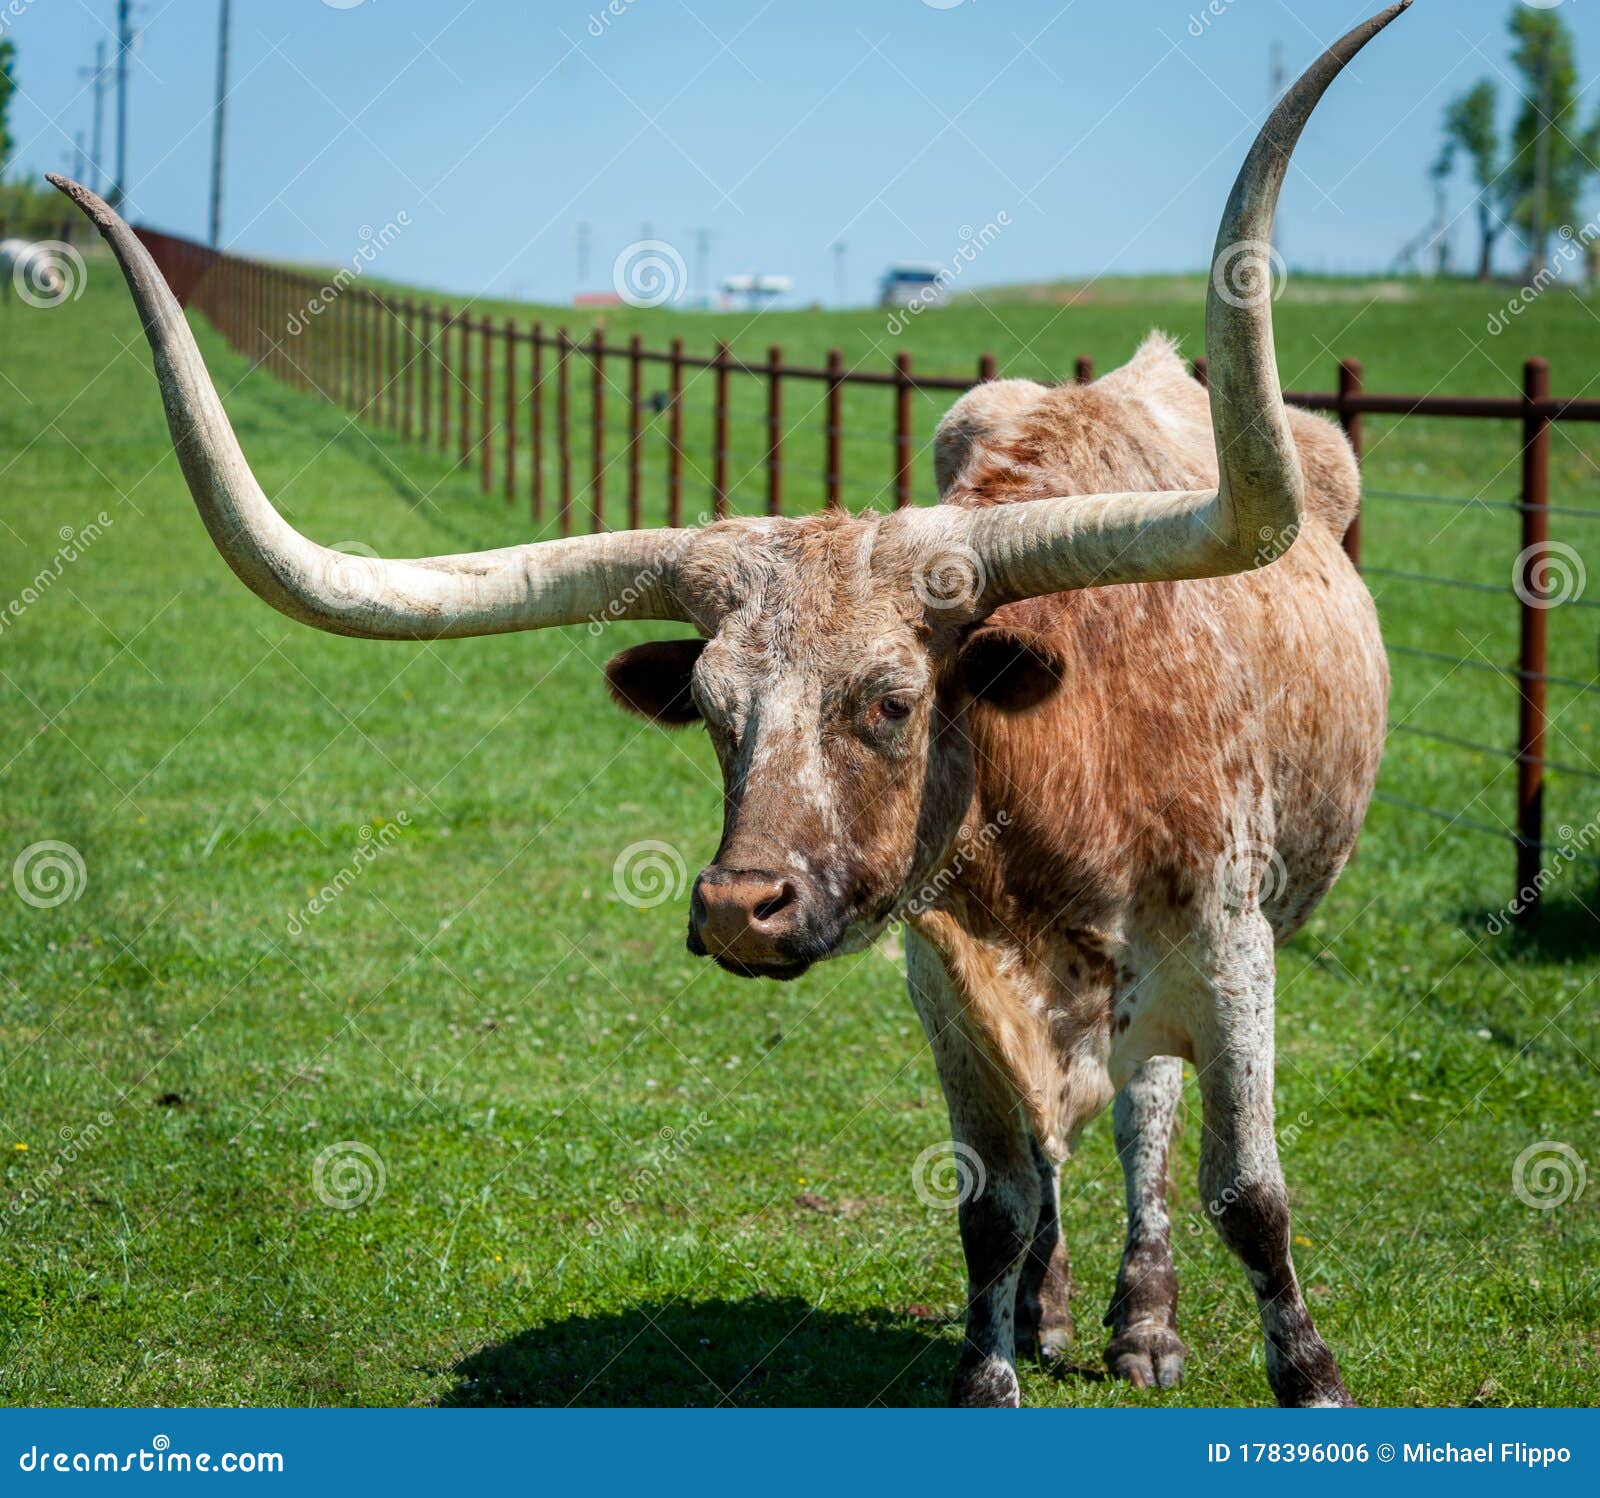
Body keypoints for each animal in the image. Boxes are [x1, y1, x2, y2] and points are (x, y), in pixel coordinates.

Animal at [50, 2, 1404, 1408]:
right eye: (707, 704)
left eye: (892, 702)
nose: (735, 907)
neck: (1064, 786)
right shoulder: (944, 982)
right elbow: (993, 1202)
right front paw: (996, 1358)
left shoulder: (1232, 950)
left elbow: (1246, 1190)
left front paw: (1306, 1373)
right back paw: (1064, 1303)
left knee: (1146, 1115)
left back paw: (1143, 1316)